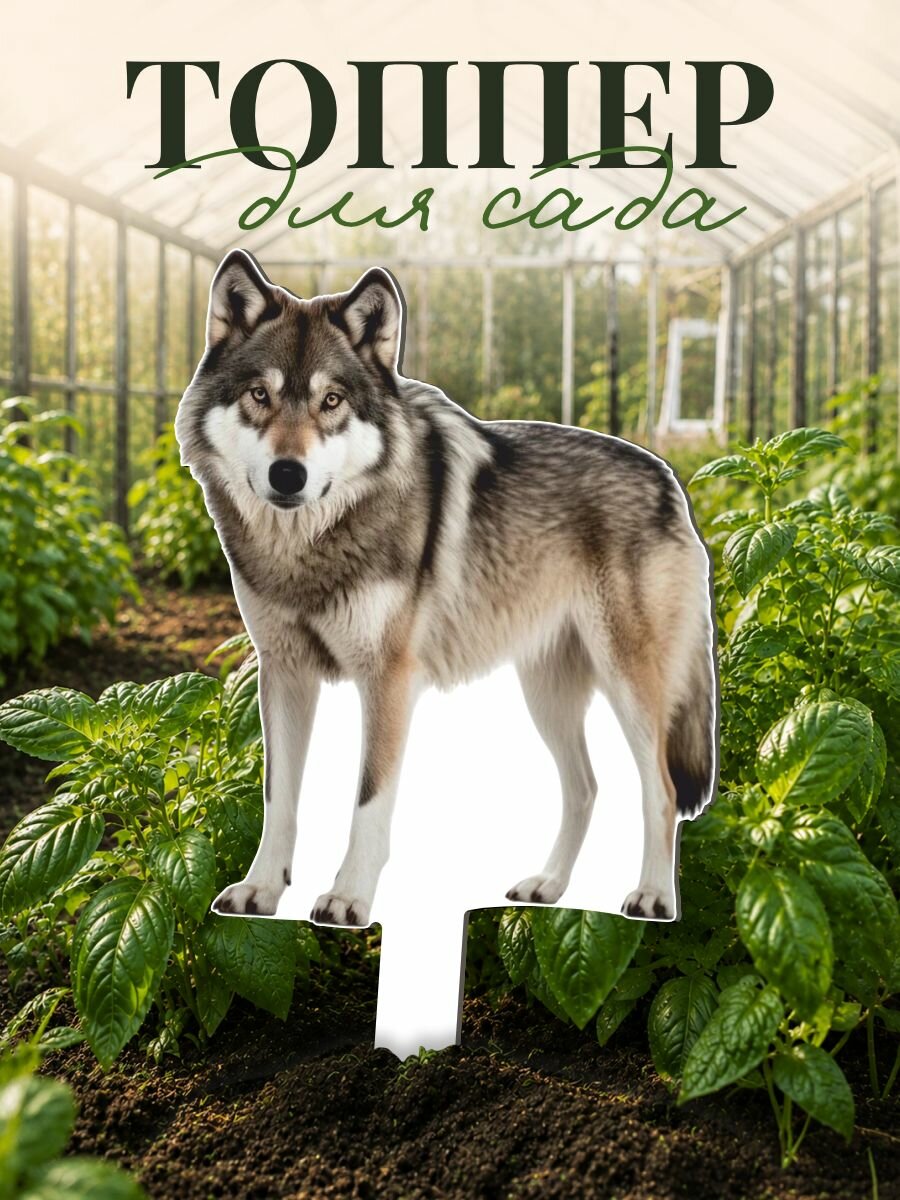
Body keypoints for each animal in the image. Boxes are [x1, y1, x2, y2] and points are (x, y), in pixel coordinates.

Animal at [175, 249, 717, 926]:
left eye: (331, 400)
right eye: (259, 395)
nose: (288, 474)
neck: (306, 550)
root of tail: (671, 481)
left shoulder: (388, 679)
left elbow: (367, 799)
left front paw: (348, 898)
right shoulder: (284, 672)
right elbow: (280, 799)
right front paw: (262, 890)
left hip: (629, 685)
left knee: (661, 789)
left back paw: (652, 898)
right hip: (546, 694)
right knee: (587, 786)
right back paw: (547, 886)